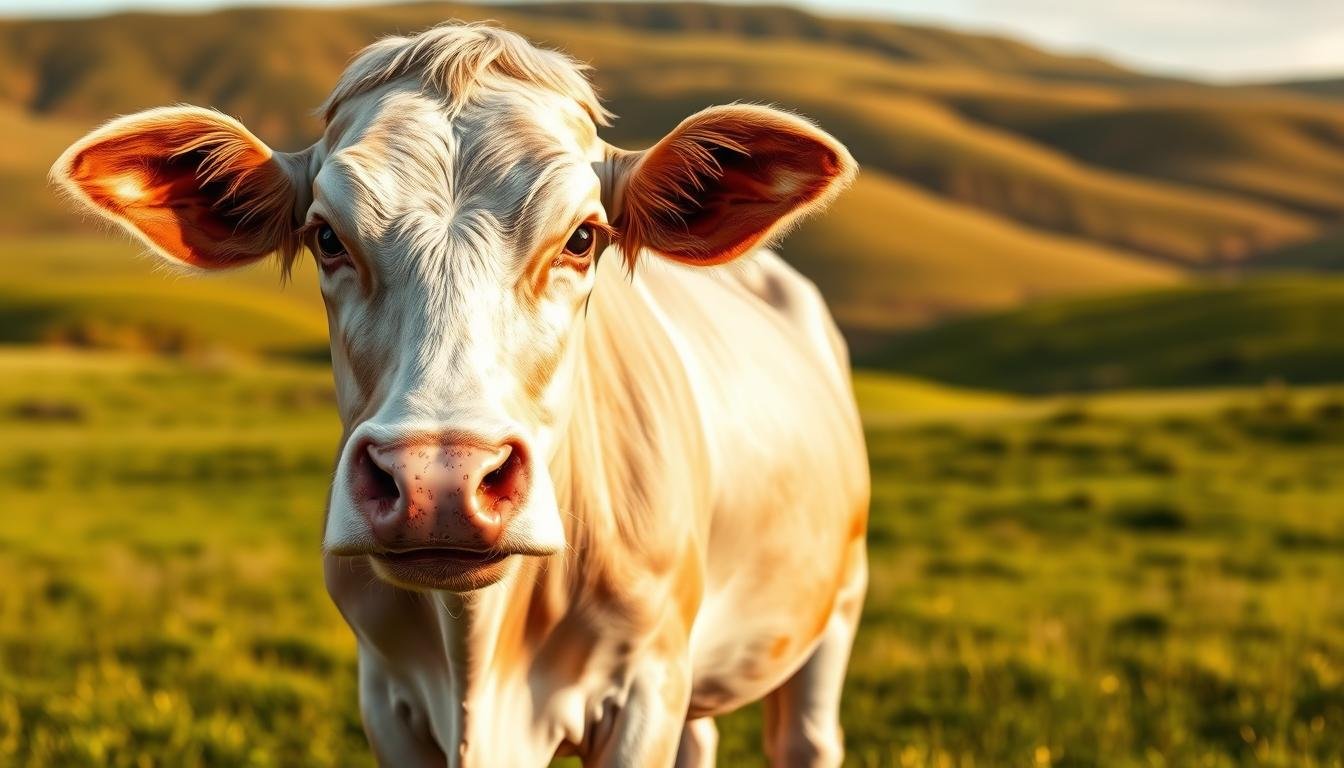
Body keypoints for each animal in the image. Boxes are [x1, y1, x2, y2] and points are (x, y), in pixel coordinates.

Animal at [52, 22, 868, 767]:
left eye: (582, 238)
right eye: (327, 237)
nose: (438, 481)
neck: (478, 656)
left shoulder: (646, 684)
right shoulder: (385, 693)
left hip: (836, 603)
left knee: (806, 738)